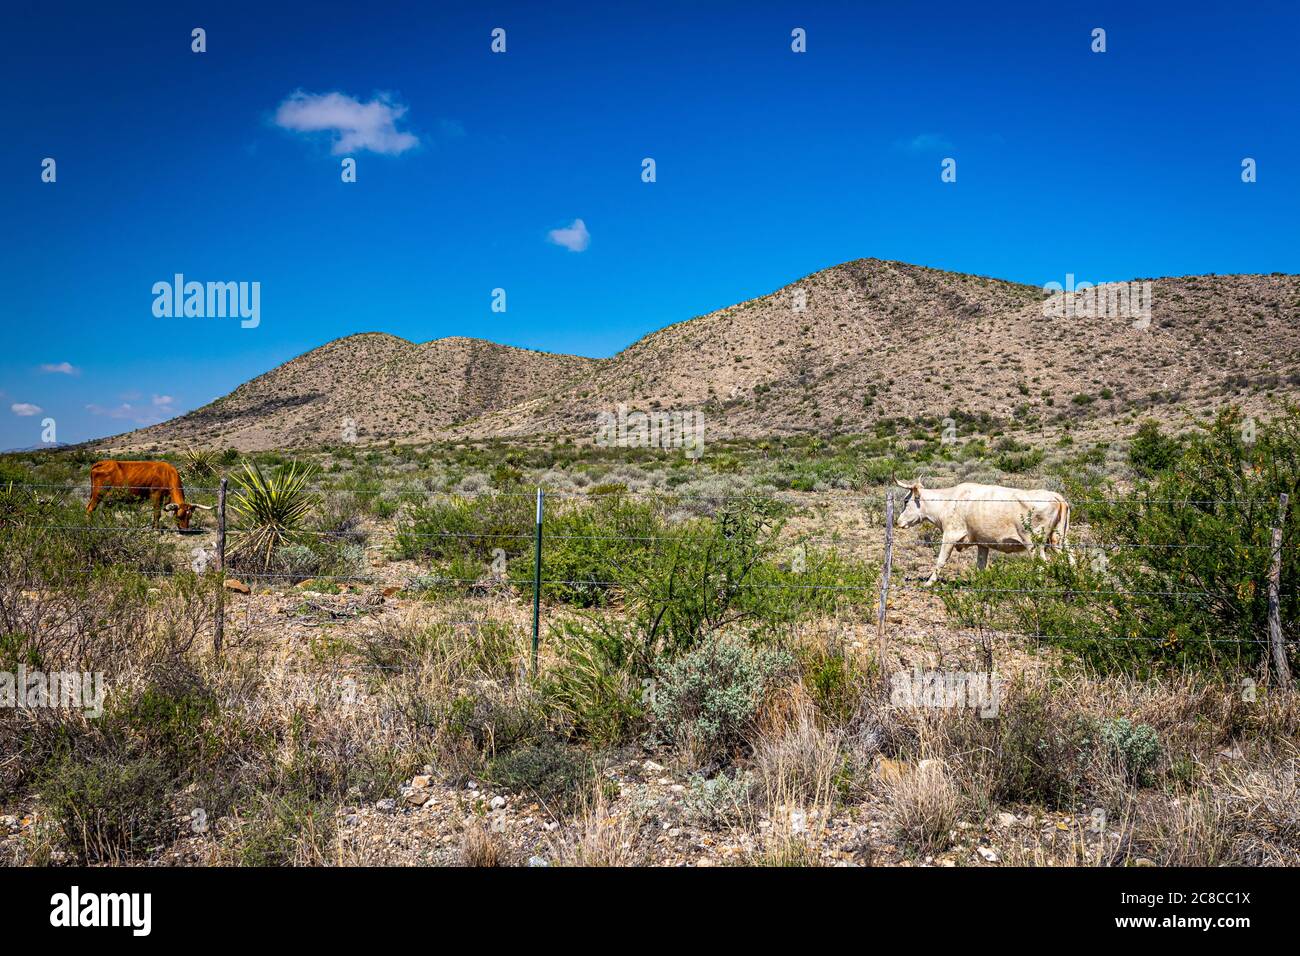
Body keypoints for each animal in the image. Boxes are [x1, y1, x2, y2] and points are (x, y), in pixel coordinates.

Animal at [893, 477, 1072, 585]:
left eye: (906, 501)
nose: (898, 522)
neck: (947, 502)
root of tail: (1056, 496)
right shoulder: (982, 542)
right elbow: (980, 565)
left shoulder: (950, 534)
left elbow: (941, 560)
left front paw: (929, 582)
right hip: (1060, 539)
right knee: (1070, 558)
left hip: (1034, 543)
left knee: (1042, 564)